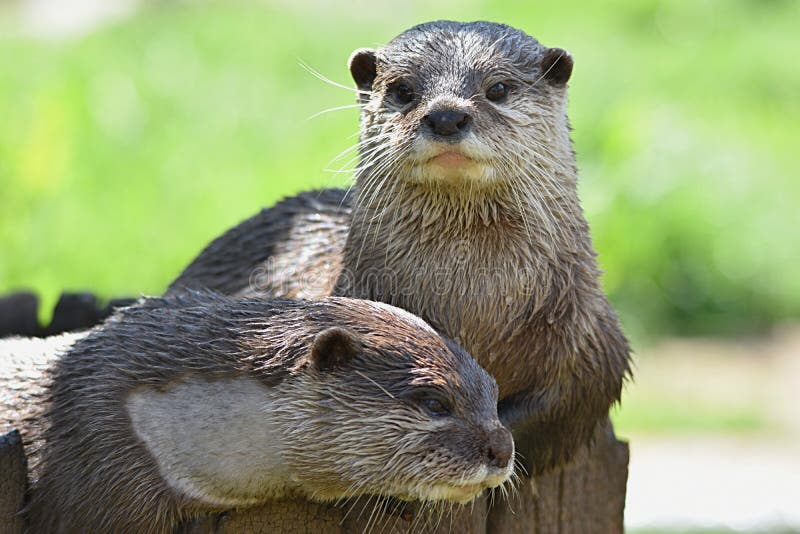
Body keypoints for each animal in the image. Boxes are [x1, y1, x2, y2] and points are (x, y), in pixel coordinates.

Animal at [169, 20, 631, 477]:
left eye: (498, 88)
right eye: (404, 90)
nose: (446, 115)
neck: (470, 301)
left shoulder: (589, 346)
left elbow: (559, 409)